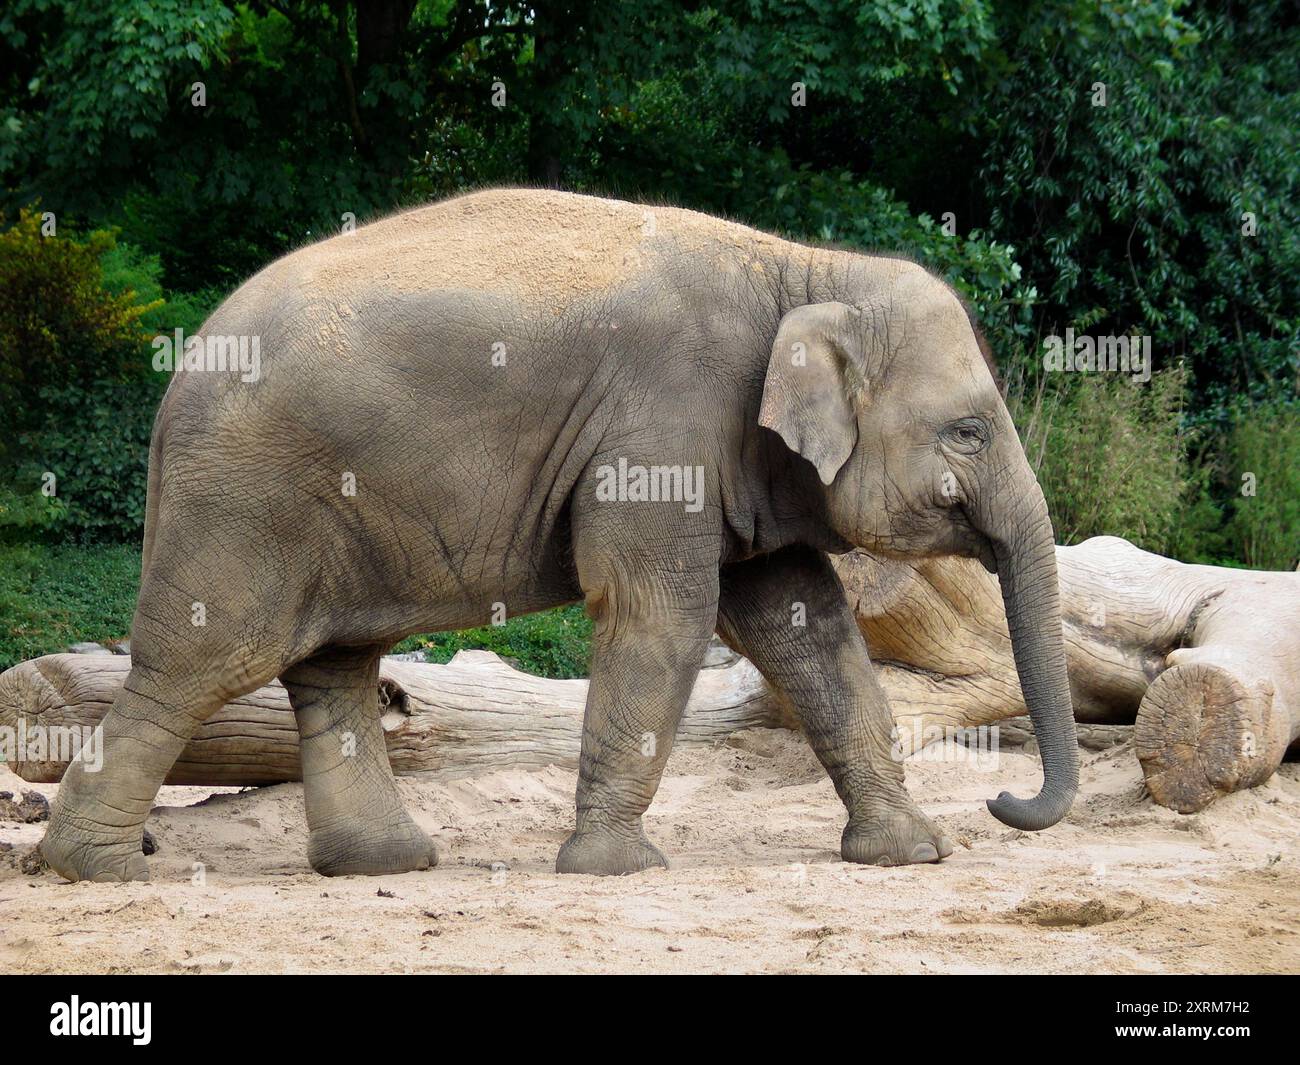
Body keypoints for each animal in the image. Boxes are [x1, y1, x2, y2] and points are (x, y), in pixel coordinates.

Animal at [40, 189, 1078, 882]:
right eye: (969, 432)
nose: (1005, 801)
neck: (802, 268)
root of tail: (177, 374)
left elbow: (806, 625)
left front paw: (911, 853)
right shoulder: (664, 427)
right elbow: (665, 616)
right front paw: (617, 867)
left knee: (332, 665)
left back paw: (386, 862)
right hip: (243, 500)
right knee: (200, 661)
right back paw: (95, 867)